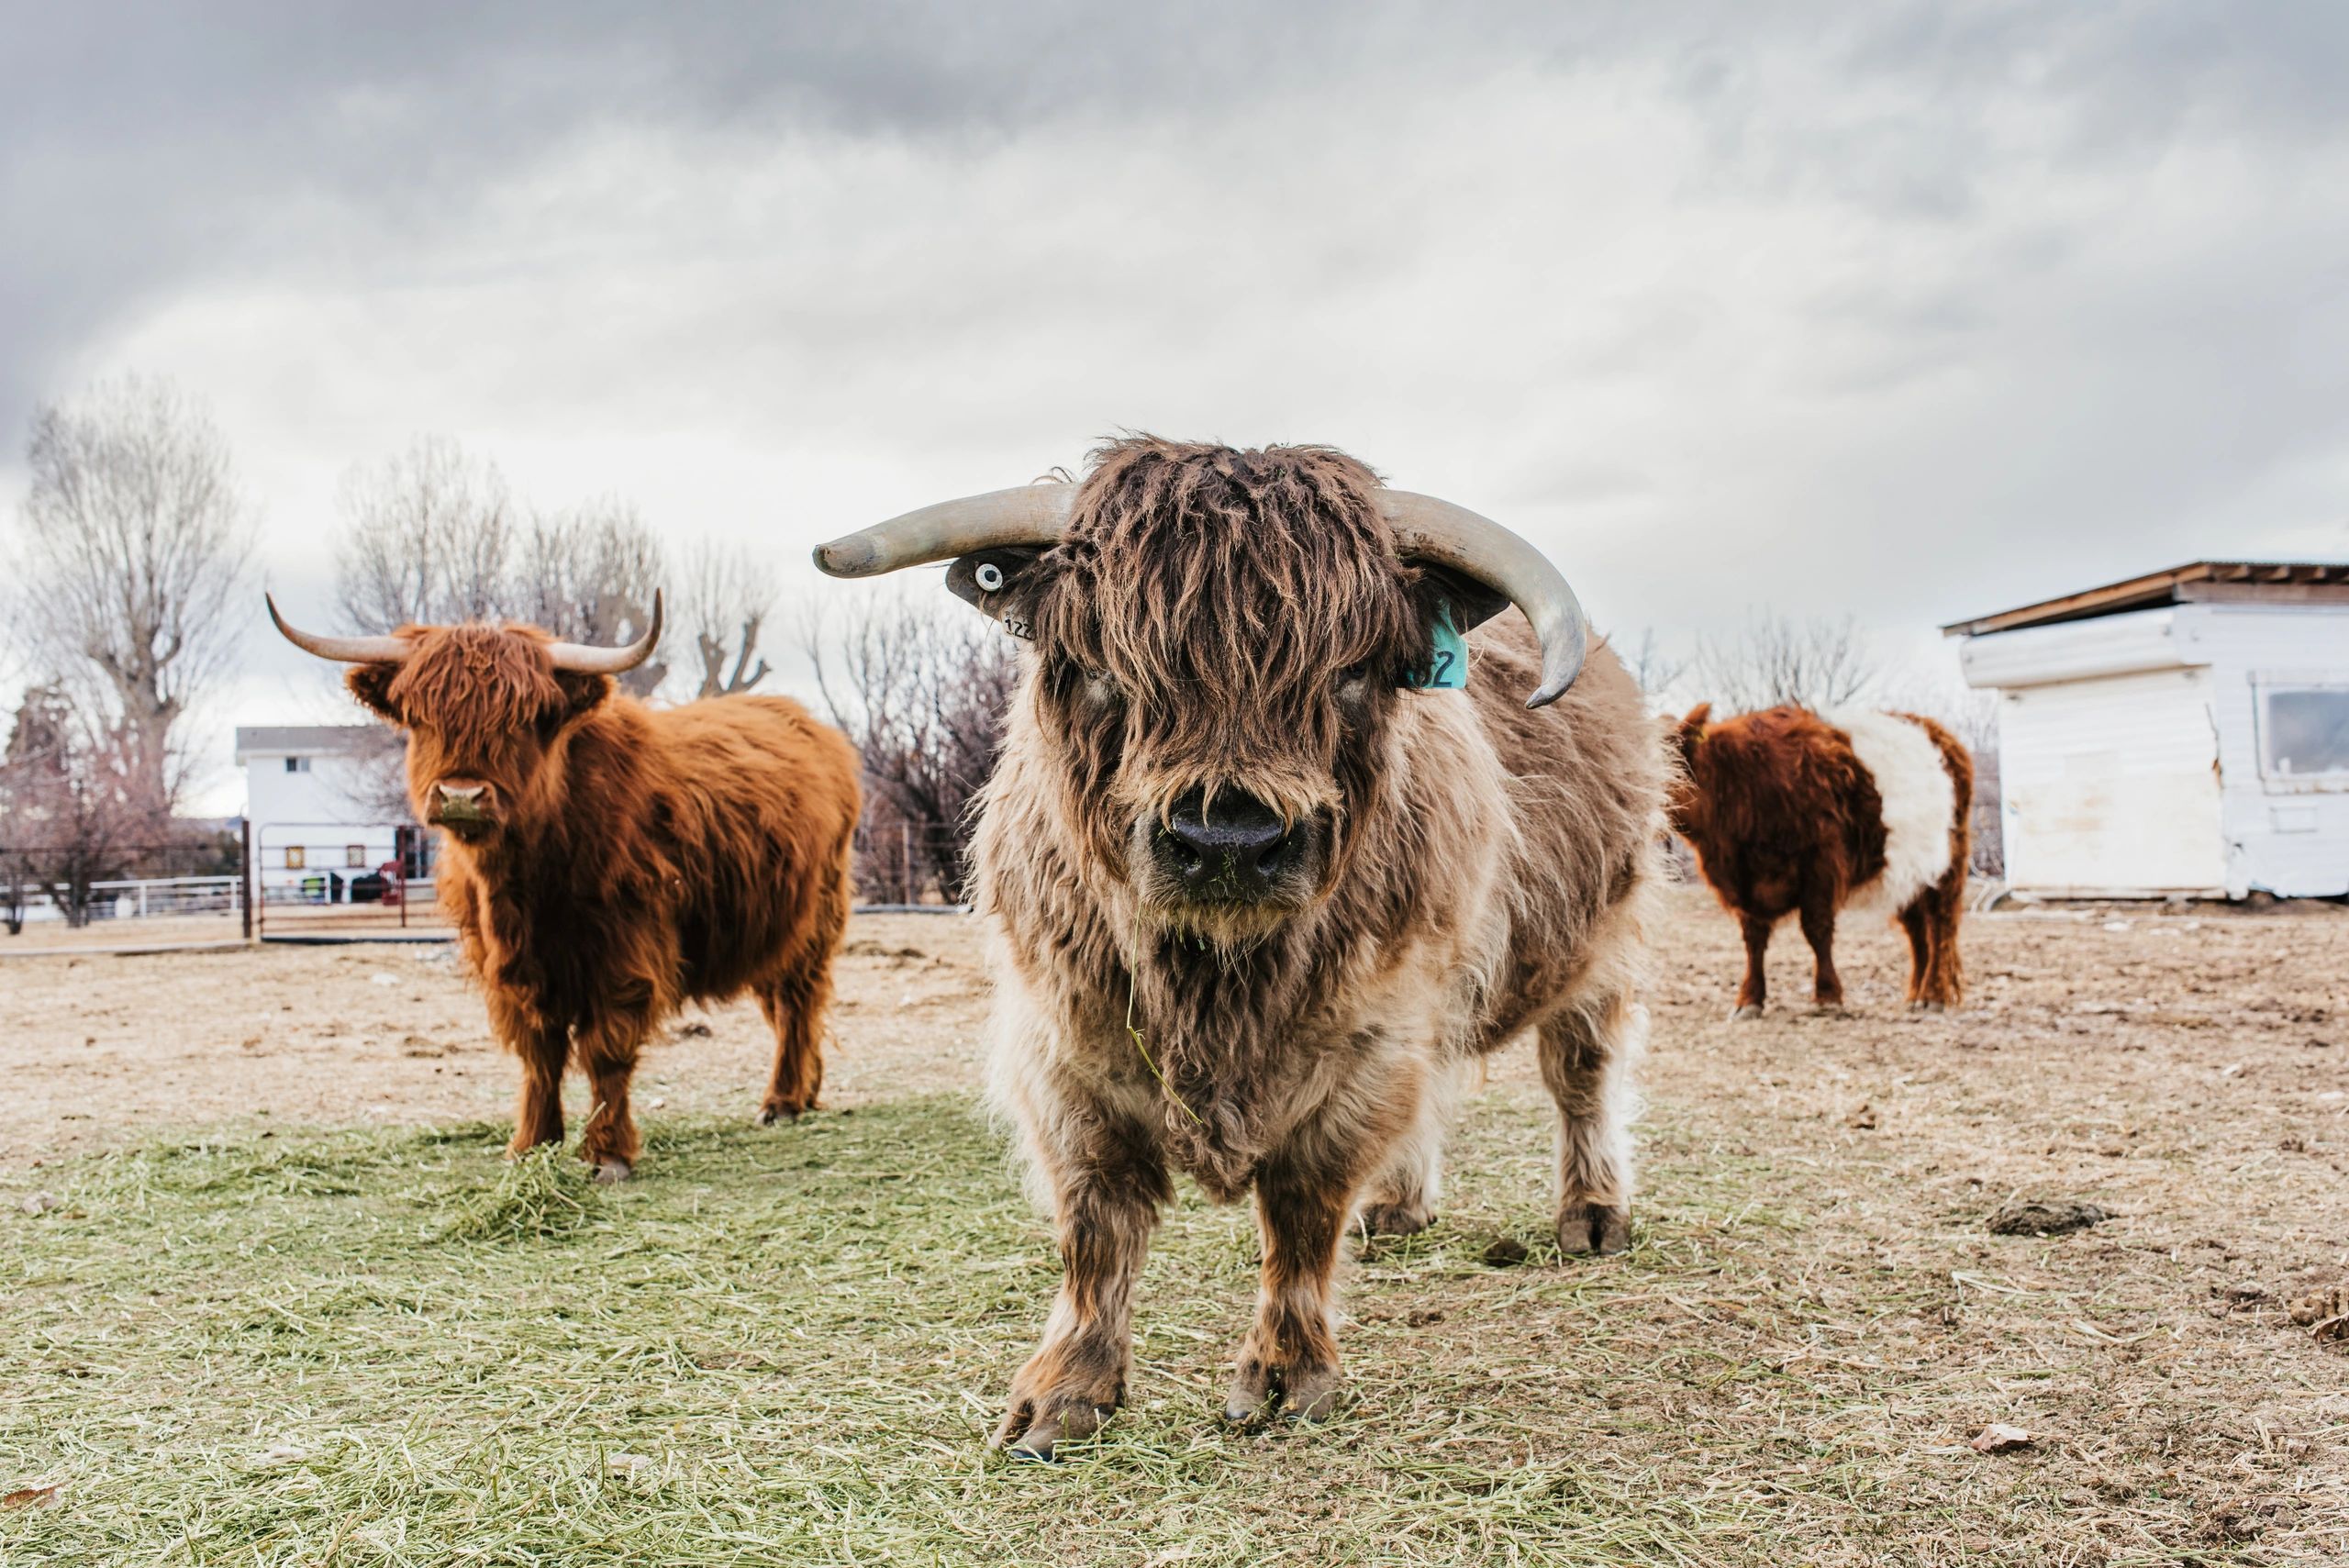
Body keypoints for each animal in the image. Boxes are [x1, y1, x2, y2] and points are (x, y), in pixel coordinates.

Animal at [267, 595, 861, 1180]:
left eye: (523, 719)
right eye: (420, 715)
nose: (461, 795)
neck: (526, 880)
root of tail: (811, 726)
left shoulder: (624, 954)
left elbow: (606, 1050)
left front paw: (607, 1154)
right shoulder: (508, 968)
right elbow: (539, 1055)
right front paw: (532, 1145)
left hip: (816, 921)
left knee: (799, 1004)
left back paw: (782, 1101)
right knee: (787, 1008)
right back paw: (806, 1092)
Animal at [814, 437, 1667, 1455]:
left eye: (1351, 670)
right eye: (1100, 660)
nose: (1227, 839)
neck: (1214, 986)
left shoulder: (1369, 1036)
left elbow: (1301, 1210)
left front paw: (1286, 1374)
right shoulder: (1063, 1047)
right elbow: (1095, 1223)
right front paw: (1063, 1393)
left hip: (1600, 942)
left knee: (1583, 1074)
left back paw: (1592, 1214)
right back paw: (1399, 1210)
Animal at [1667, 703, 1972, 1019]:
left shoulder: (1820, 864)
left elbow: (1817, 930)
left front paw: (1828, 996)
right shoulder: (1747, 882)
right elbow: (1753, 939)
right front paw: (1749, 999)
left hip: (1945, 868)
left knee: (1940, 927)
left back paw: (1934, 995)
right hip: (1906, 874)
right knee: (1917, 930)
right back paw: (1915, 996)